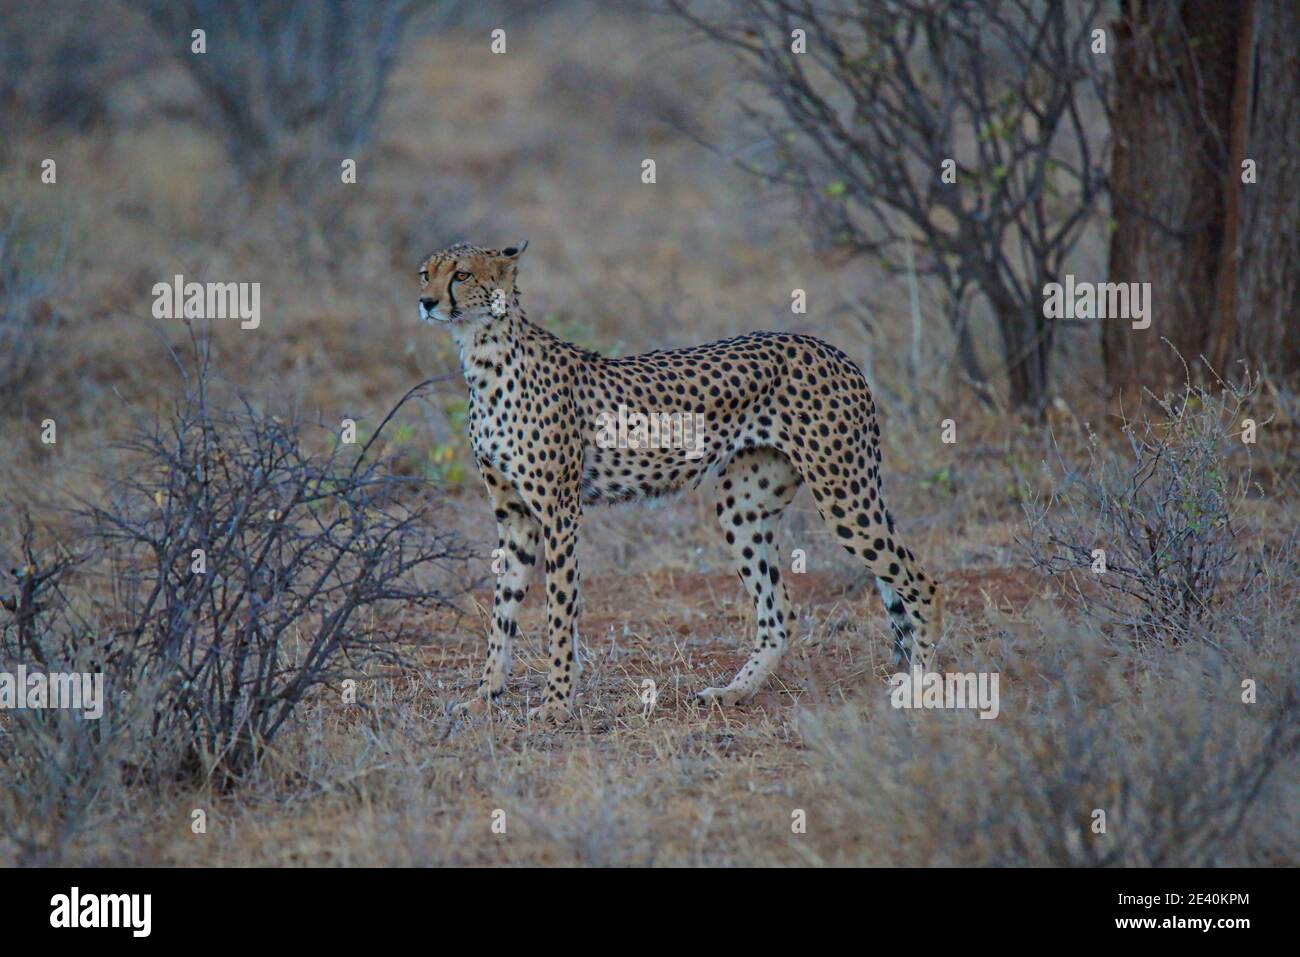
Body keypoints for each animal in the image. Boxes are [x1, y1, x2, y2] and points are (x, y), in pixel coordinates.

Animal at [418, 240, 943, 723]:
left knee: (924, 584)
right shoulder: (515, 517)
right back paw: (733, 692)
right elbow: (501, 613)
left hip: (843, 493)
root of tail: (833, 350)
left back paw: (922, 683)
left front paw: (556, 703)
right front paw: (485, 697)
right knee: (780, 613)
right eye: (426, 273)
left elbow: (559, 612)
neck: (484, 355)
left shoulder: (559, 512)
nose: (425, 302)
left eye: (462, 275)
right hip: (743, 505)